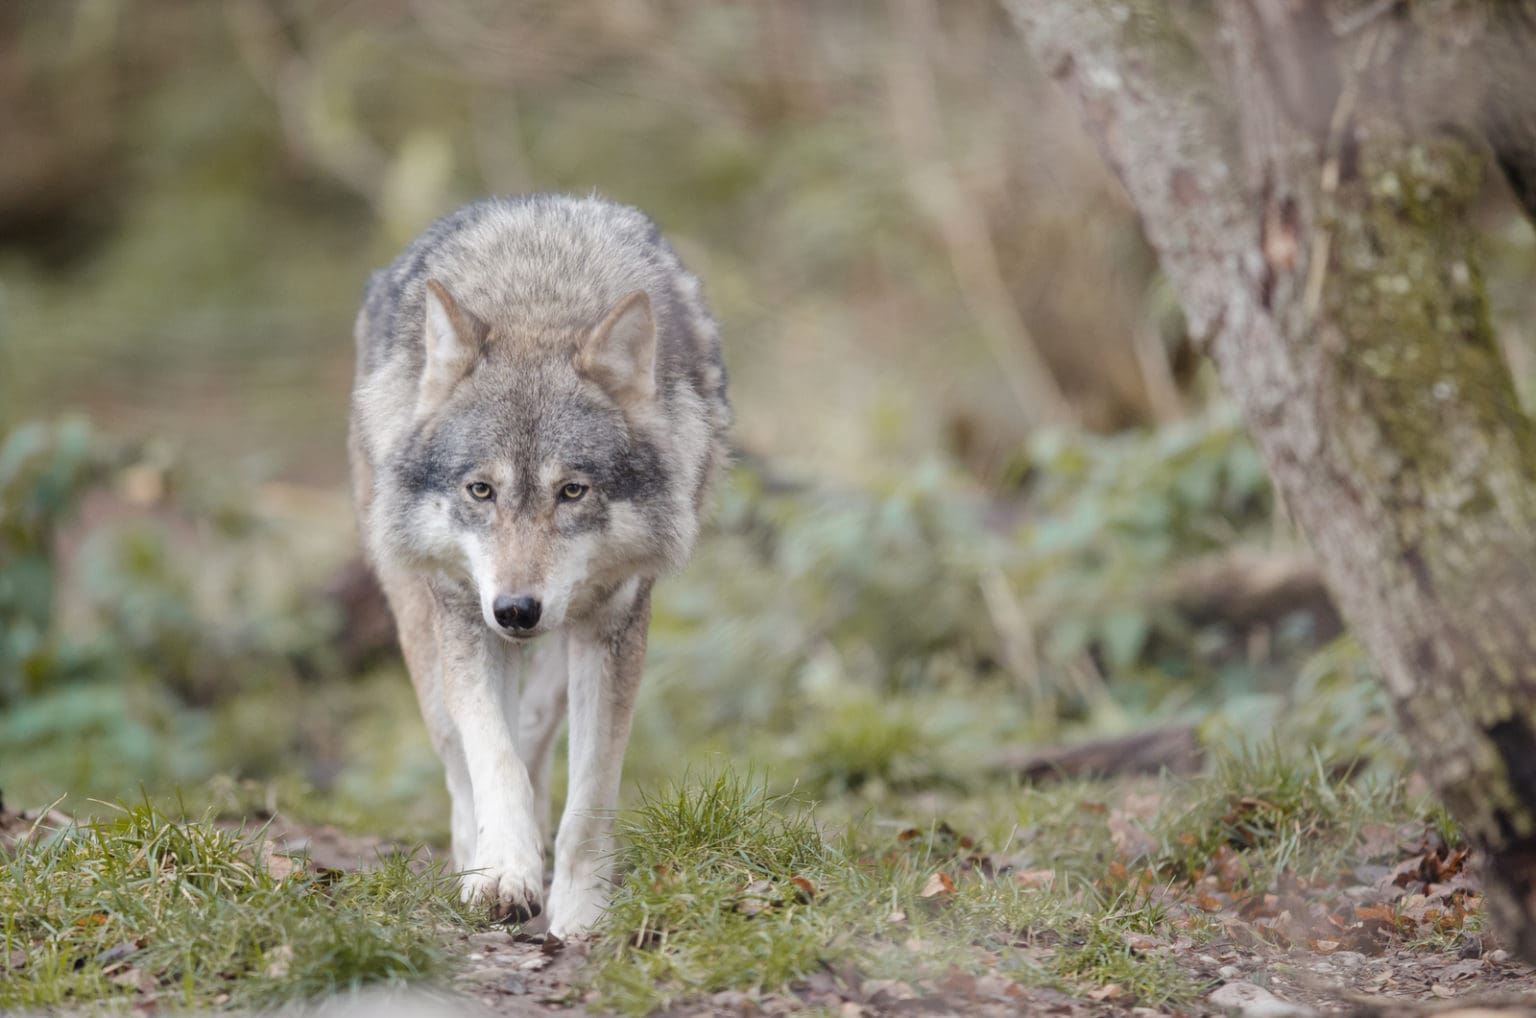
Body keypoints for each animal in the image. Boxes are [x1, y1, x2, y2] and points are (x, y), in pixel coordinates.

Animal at [348, 194, 729, 937]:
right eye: (480, 490)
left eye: (572, 491)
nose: (517, 611)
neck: (539, 302)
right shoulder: (462, 613)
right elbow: (491, 759)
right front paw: (501, 874)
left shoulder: (613, 628)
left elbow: (589, 798)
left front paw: (579, 918)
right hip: (421, 624)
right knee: (462, 757)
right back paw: (477, 861)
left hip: (561, 655)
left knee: (536, 736)